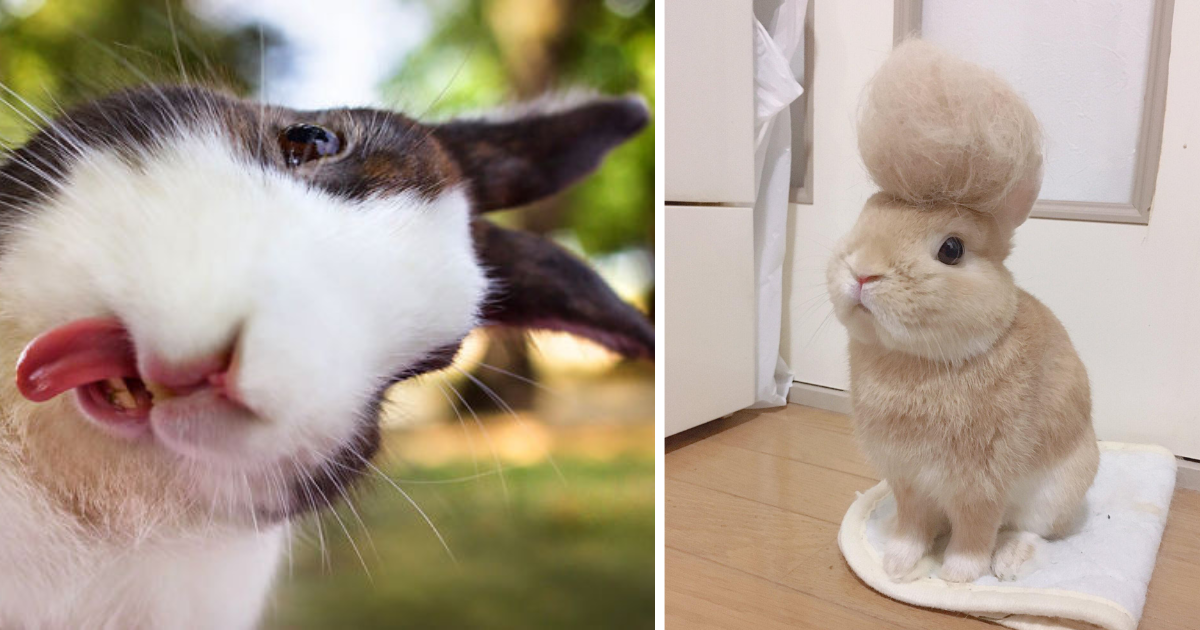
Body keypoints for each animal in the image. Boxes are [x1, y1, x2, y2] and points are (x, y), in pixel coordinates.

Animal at [826, 40, 1099, 584]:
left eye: (951, 250)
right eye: (864, 219)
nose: (862, 272)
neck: (919, 361)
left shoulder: (981, 482)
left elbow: (976, 528)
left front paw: (958, 574)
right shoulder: (907, 480)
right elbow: (911, 521)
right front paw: (898, 564)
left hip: (1057, 489)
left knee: (1033, 530)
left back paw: (1009, 563)